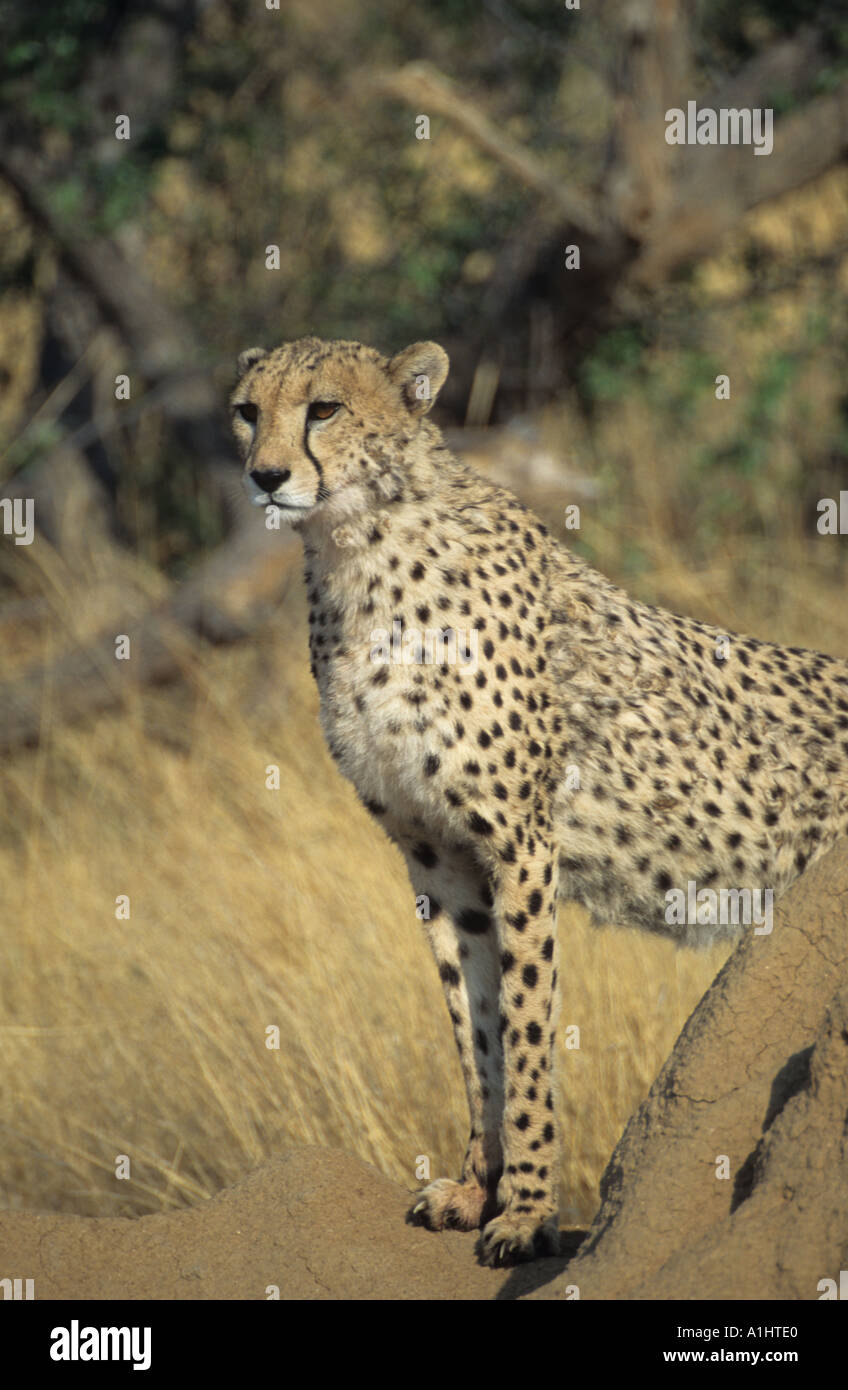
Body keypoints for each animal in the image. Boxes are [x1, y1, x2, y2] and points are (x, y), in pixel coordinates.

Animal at [230, 334, 848, 1266]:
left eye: (324, 409)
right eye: (246, 411)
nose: (265, 476)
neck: (358, 546)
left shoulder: (520, 840)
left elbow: (524, 1026)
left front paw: (524, 1213)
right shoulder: (437, 856)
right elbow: (474, 1025)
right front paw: (472, 1189)